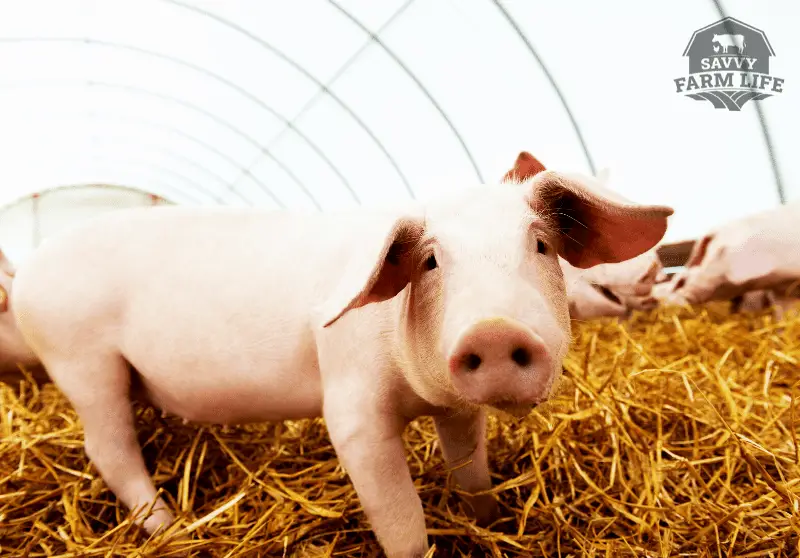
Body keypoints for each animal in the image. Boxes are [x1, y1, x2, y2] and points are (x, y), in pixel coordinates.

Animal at [11, 155, 673, 558]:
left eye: (539, 246)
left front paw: (490, 521)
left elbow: (473, 471)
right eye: (430, 261)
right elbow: (400, 518)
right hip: (81, 360)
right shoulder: (351, 406)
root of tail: (26, 273)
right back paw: (169, 524)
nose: (490, 329)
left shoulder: (458, 410)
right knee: (107, 448)